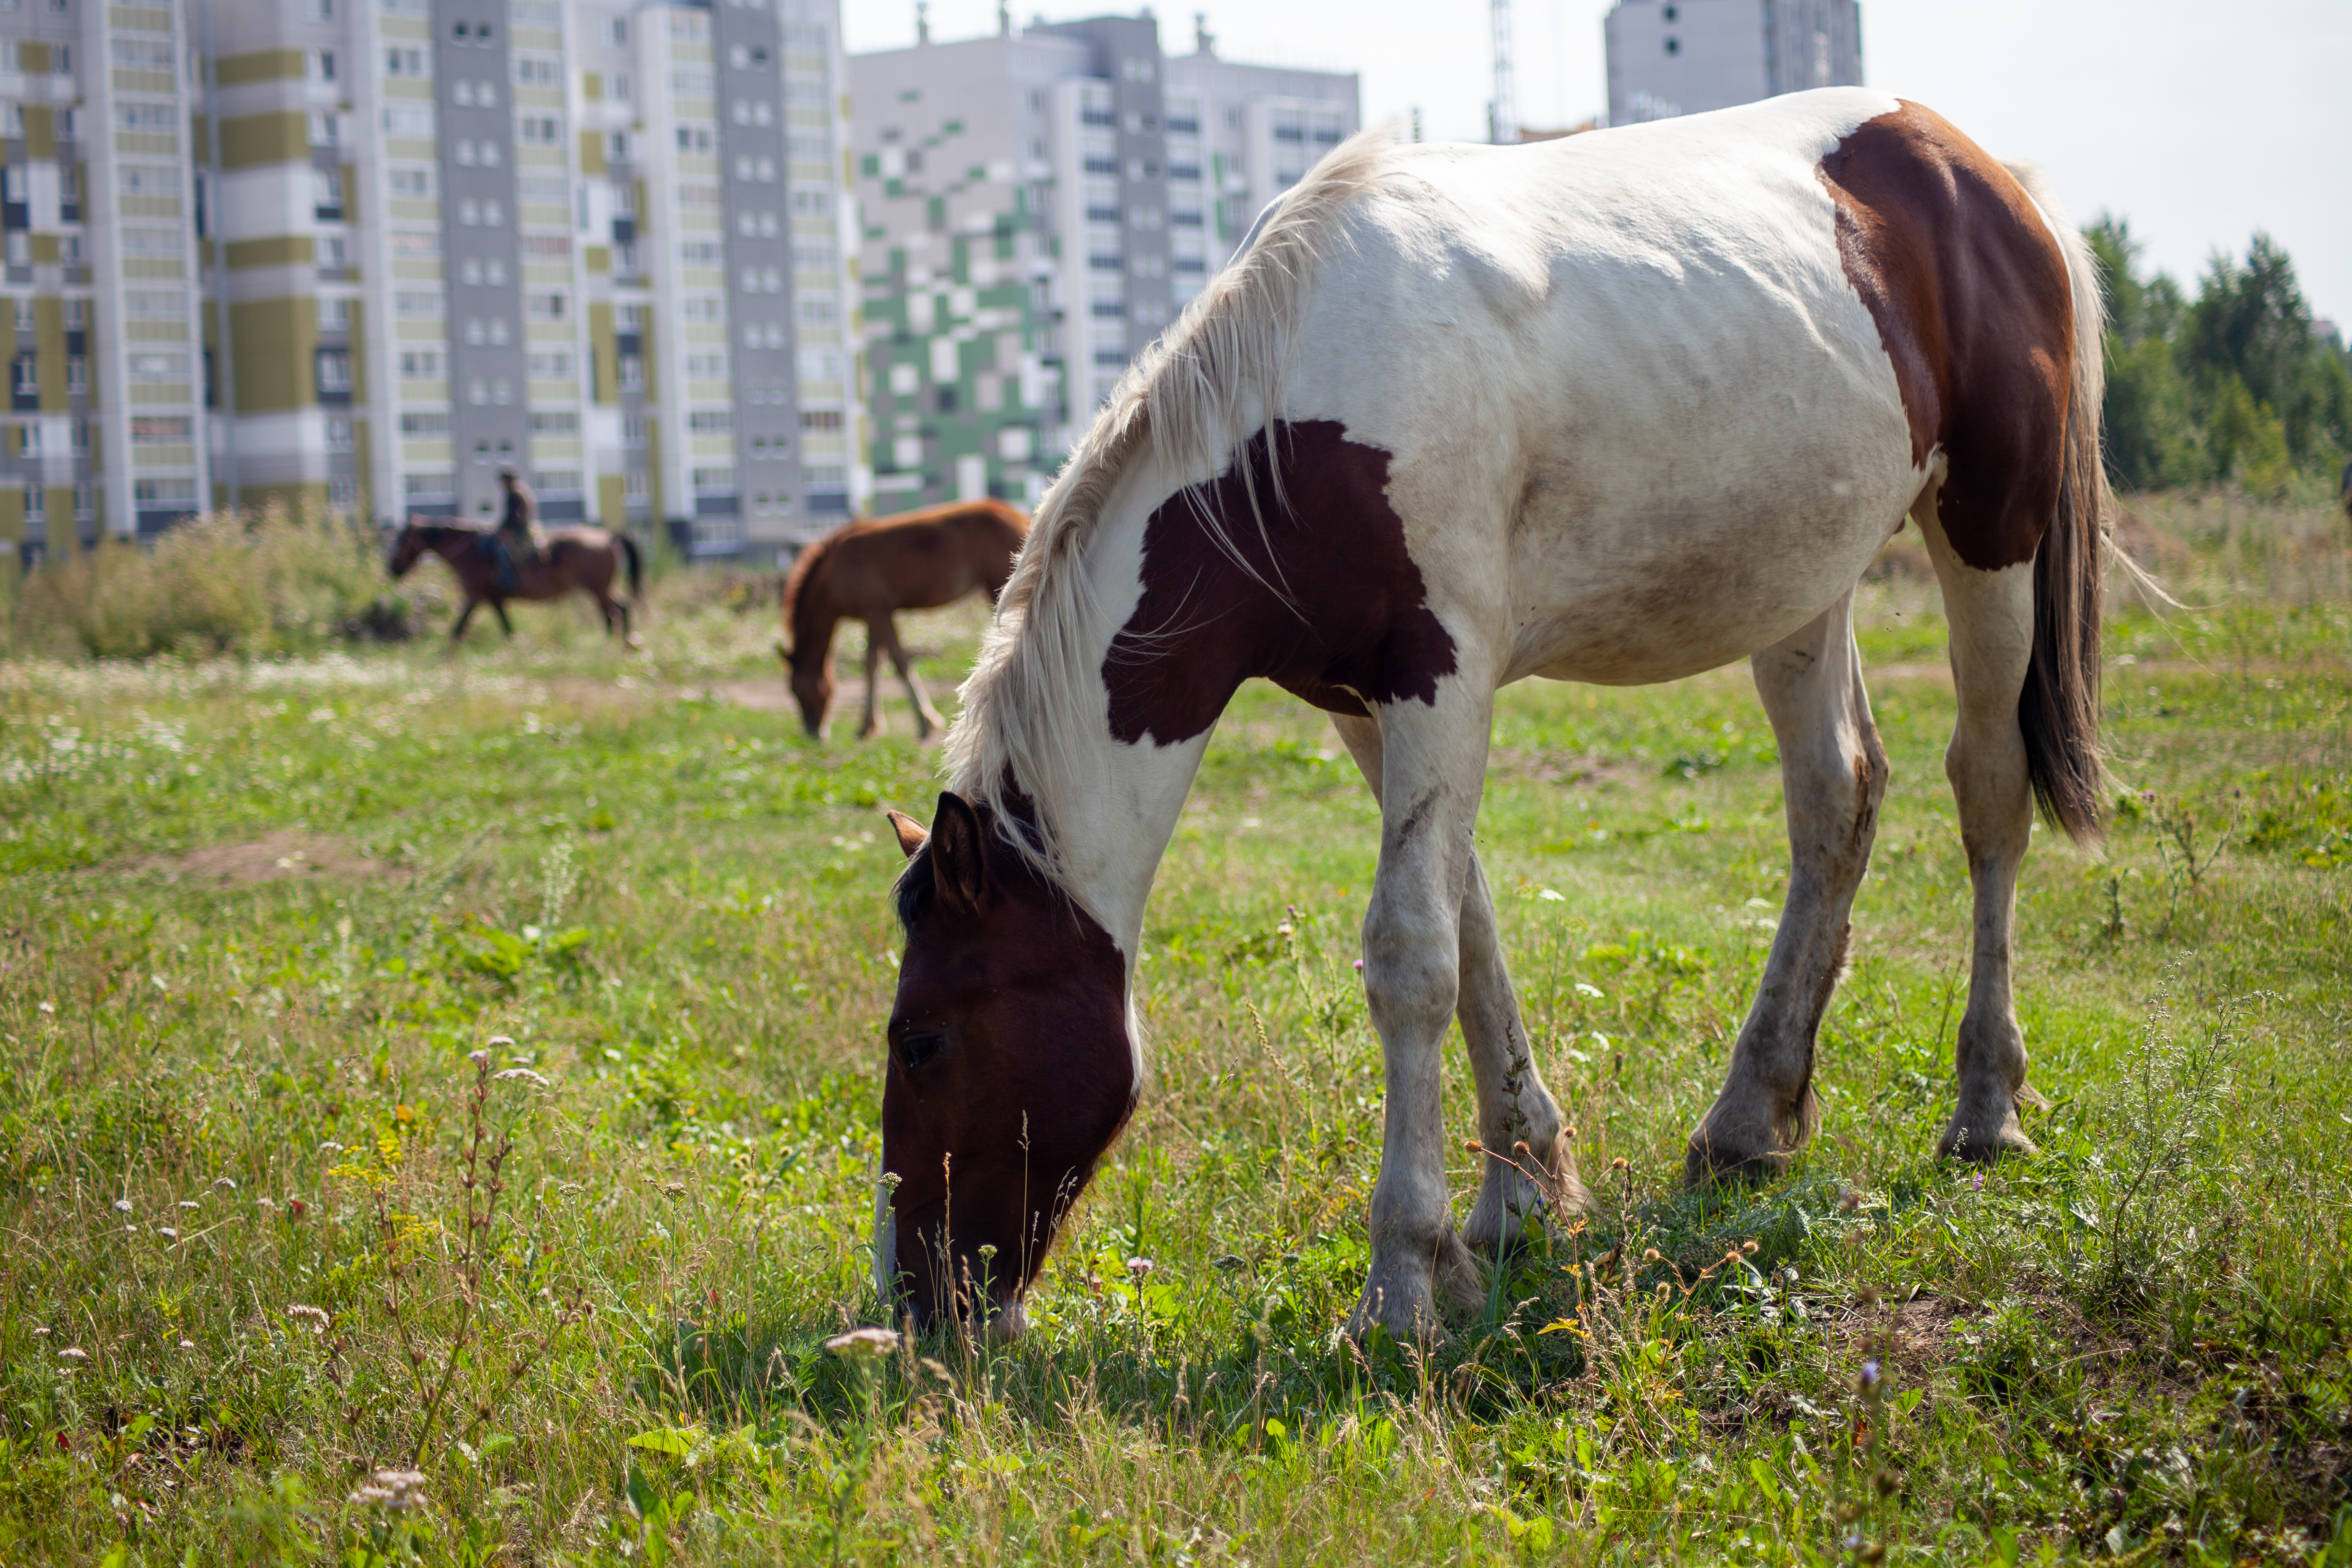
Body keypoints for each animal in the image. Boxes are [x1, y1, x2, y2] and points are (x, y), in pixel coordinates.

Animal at [388, 517, 649, 649]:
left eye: (402, 540)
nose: (392, 568)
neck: (470, 552)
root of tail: (606, 536)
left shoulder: (476, 596)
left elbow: (460, 628)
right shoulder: (492, 599)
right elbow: (505, 627)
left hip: (598, 589)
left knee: (620, 610)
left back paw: (621, 644)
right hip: (599, 590)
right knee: (614, 612)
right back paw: (613, 643)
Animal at [781, 503, 1030, 747]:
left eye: (798, 689)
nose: (814, 733)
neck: (835, 569)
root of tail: (1018, 515)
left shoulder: (879, 613)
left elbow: (899, 662)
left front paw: (926, 722)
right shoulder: (872, 616)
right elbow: (872, 665)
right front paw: (868, 726)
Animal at [879, 85, 2117, 1344]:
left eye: (920, 1041)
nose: (922, 1301)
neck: (1291, 427)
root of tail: (1981, 170)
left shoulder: (1444, 677)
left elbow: (1410, 955)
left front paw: (1400, 1279)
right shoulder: (1367, 707)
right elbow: (1467, 936)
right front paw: (1519, 1196)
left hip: (1992, 536)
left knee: (1989, 794)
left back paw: (1983, 1105)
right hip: (1802, 582)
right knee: (1837, 799)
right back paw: (1747, 1122)